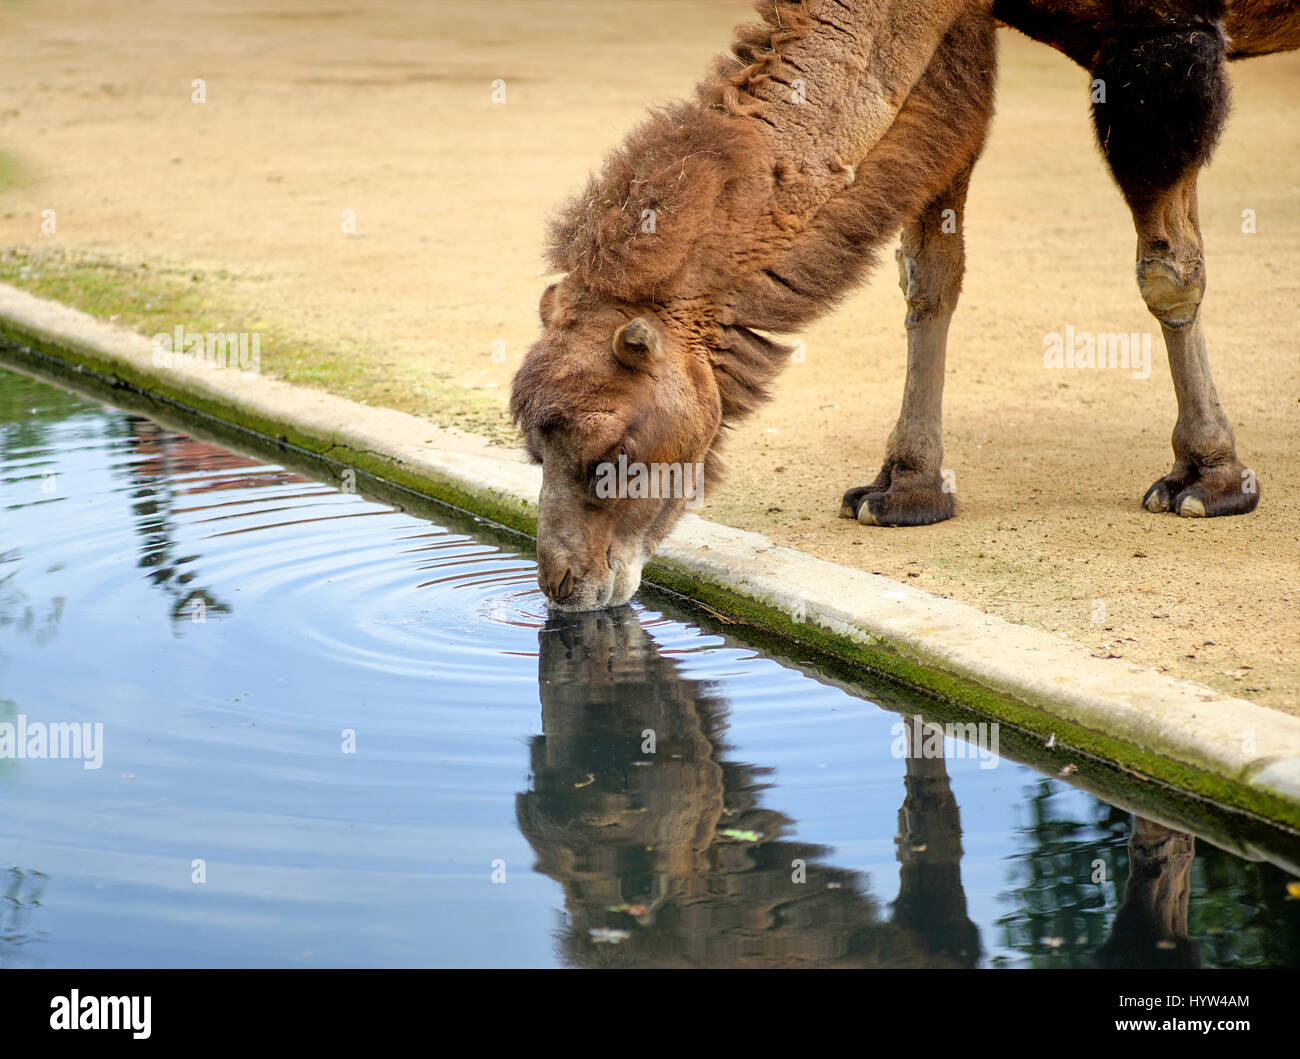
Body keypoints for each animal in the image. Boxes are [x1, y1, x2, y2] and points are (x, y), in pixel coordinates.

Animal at [510, 0, 1299, 610]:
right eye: (534, 447)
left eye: (611, 450)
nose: (562, 583)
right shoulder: (957, 42)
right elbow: (929, 271)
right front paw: (907, 489)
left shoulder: (1163, 37)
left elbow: (1169, 269)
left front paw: (1211, 476)